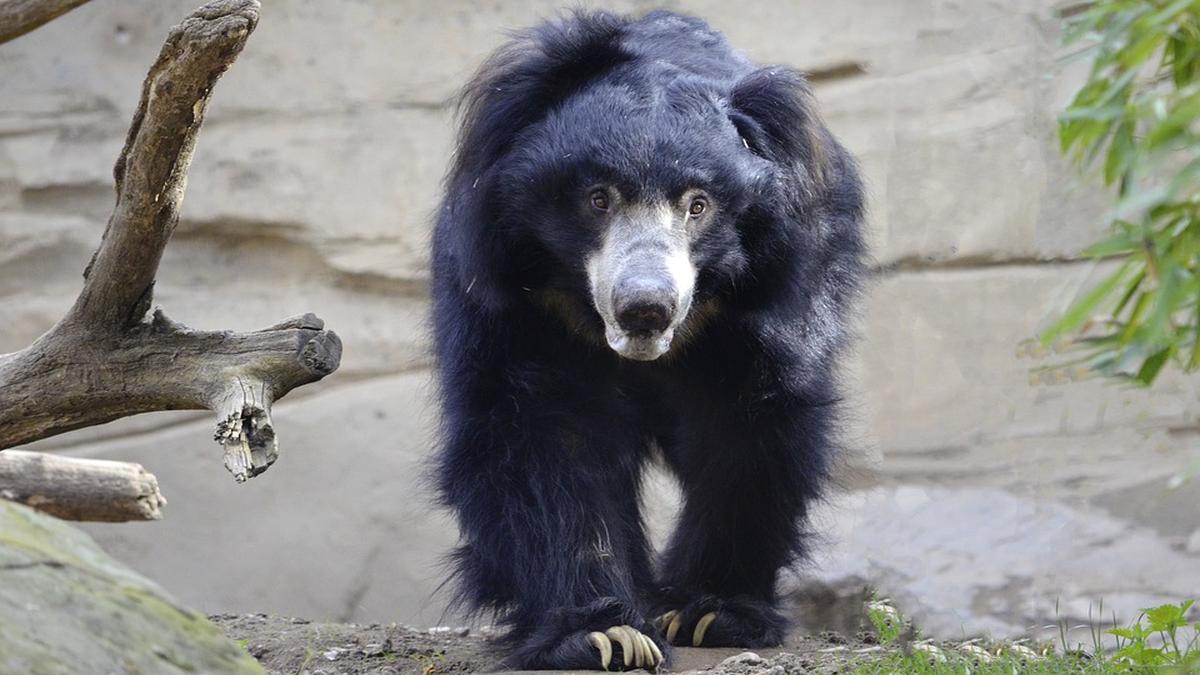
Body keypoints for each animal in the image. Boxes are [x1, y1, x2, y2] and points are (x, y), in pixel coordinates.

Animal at [431, 9, 865, 671]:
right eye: (597, 198)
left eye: (698, 205)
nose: (645, 310)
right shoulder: (517, 298)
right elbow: (540, 433)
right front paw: (604, 633)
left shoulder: (765, 300)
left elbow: (748, 427)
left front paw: (710, 612)